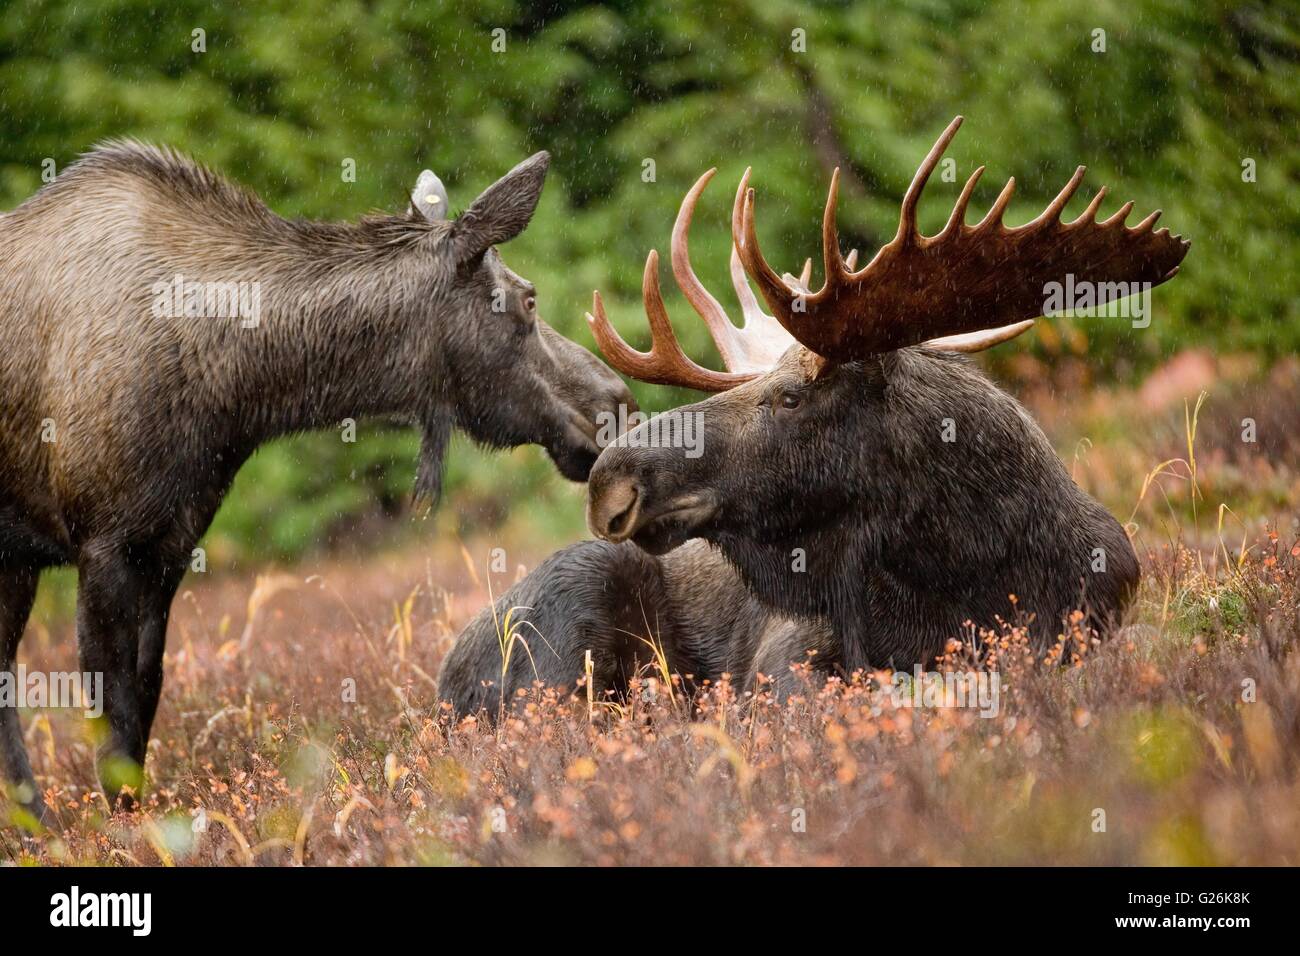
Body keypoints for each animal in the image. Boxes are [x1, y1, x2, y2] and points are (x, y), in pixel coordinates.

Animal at [0, 144, 635, 820]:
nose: (616, 401)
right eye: (528, 299)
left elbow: (144, 702)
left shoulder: (168, 545)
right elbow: (112, 722)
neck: (236, 390)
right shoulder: (104, 544)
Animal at [438, 116, 1190, 718]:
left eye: (791, 397)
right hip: (573, 605)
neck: (967, 569)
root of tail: (441, 684)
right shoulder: (789, 656)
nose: (610, 480)